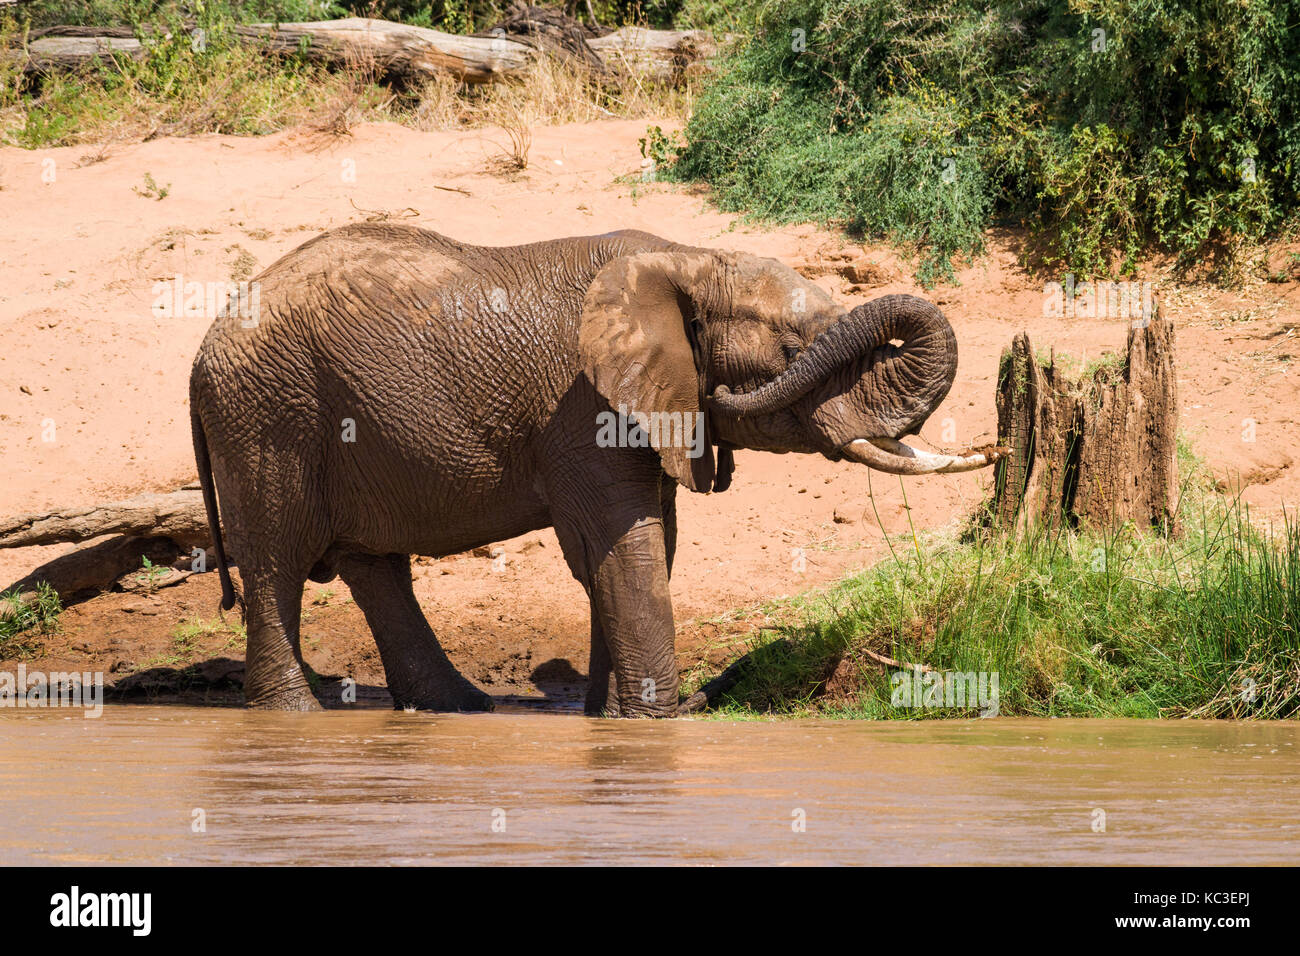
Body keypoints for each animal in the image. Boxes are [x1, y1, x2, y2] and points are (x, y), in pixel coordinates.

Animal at [189, 224, 1004, 716]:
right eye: (793, 346)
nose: (994, 450)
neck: (685, 258)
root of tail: (202, 348)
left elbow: (640, 550)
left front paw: (608, 720)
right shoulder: (582, 408)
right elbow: (623, 550)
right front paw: (653, 723)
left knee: (372, 566)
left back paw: (459, 709)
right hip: (268, 418)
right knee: (277, 564)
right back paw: (297, 719)